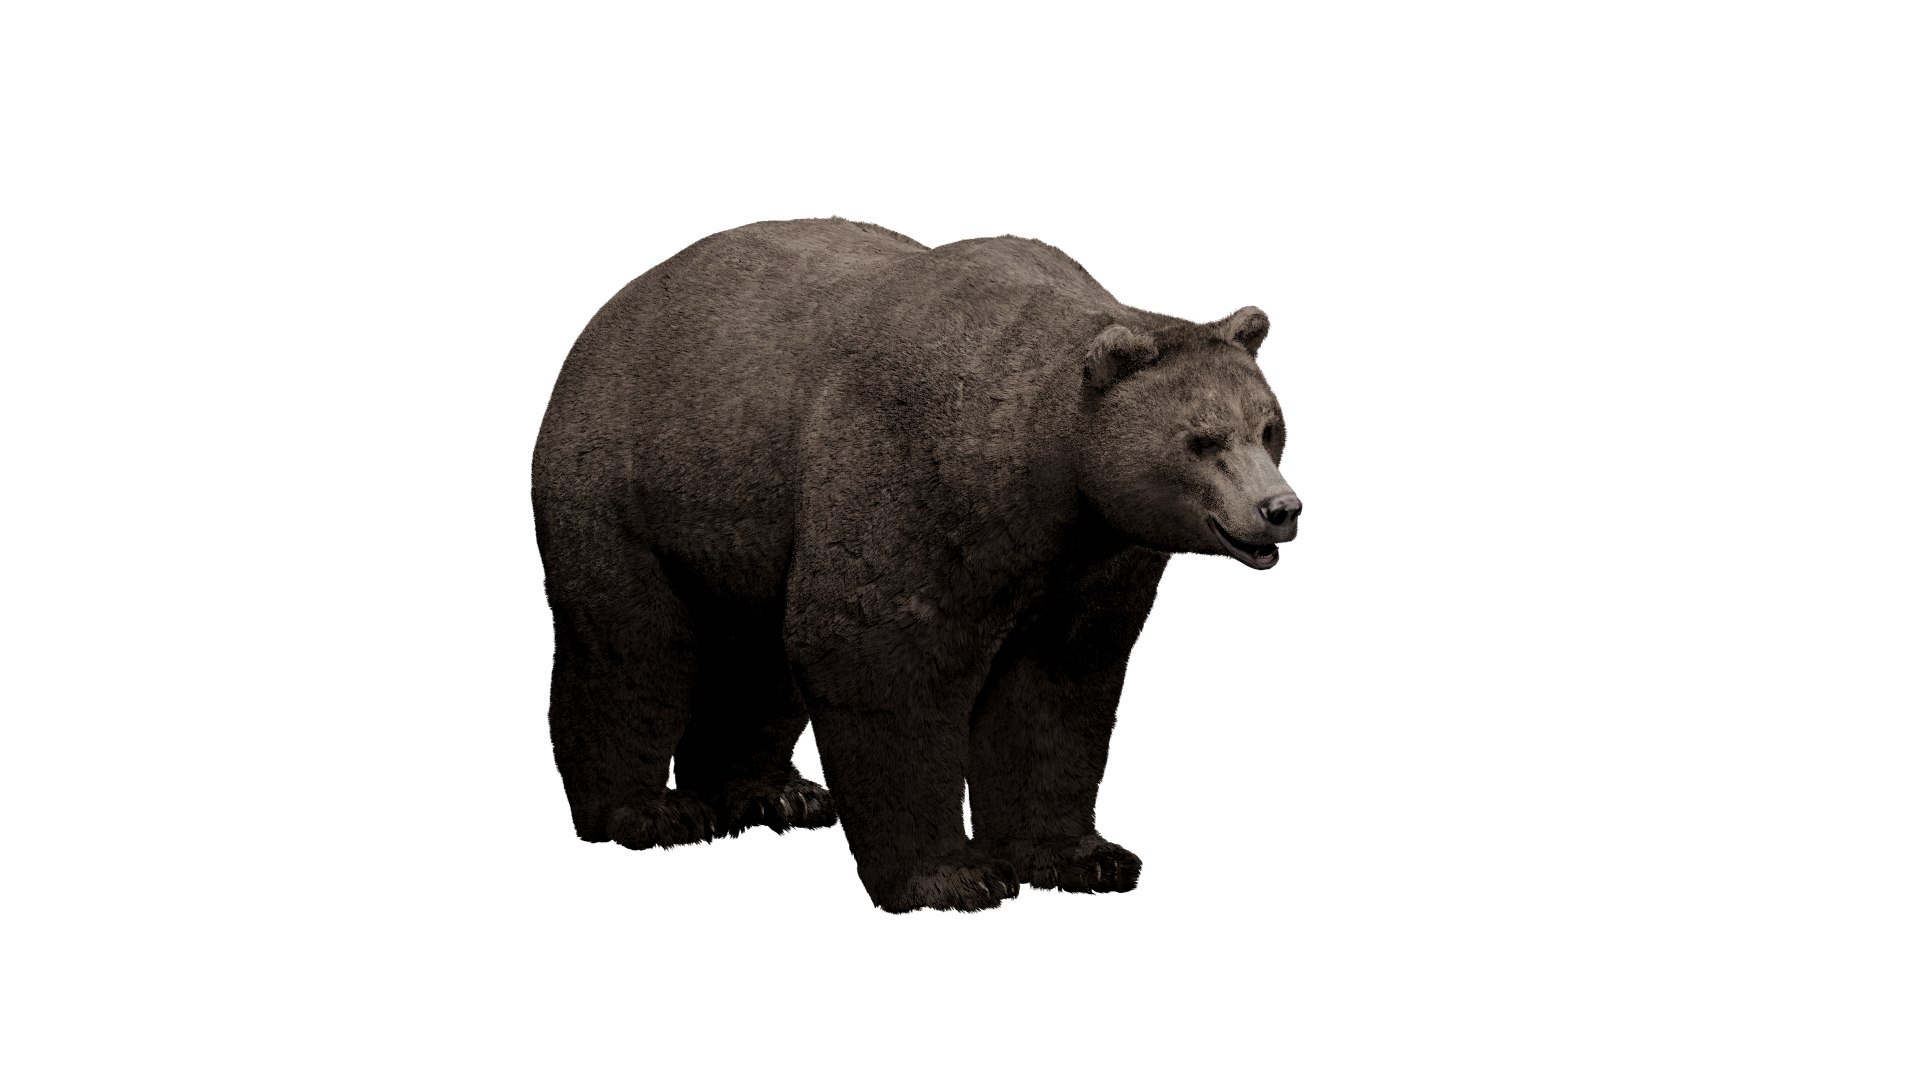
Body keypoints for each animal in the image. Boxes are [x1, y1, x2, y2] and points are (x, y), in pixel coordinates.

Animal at [532, 217, 1301, 912]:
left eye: (1269, 427)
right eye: (1201, 440)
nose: (1279, 509)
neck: (1048, 480)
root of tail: (607, 314)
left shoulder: (1091, 566)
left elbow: (1057, 690)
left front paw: (1085, 857)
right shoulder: (910, 482)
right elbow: (878, 655)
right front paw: (953, 877)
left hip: (752, 528)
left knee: (756, 657)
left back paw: (773, 794)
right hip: (632, 486)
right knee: (633, 648)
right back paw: (648, 813)